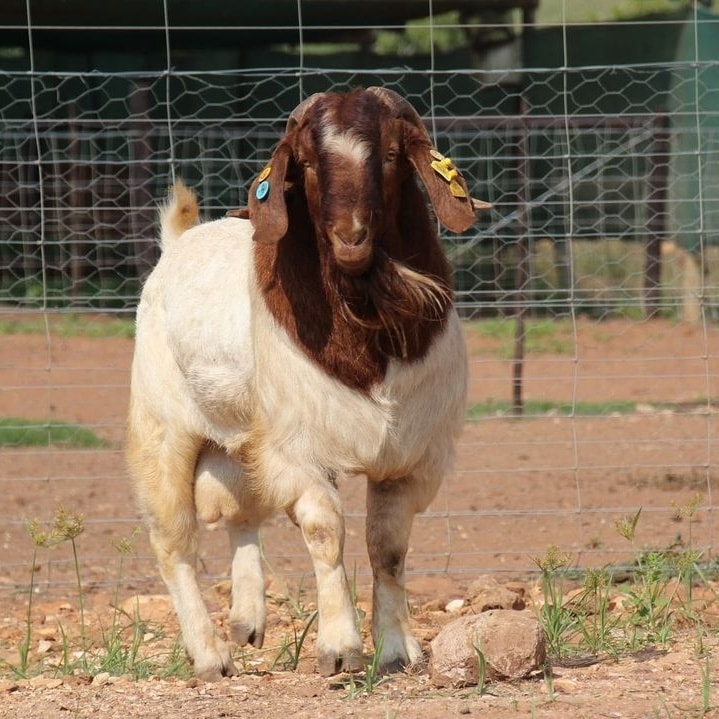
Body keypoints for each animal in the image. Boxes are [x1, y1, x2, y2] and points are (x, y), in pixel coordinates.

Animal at [127, 87, 485, 680]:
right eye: (309, 163)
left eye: (391, 154)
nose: (351, 238)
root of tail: (178, 241)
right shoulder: (299, 448)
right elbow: (325, 532)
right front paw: (339, 649)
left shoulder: (411, 457)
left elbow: (387, 546)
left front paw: (396, 648)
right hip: (162, 430)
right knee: (172, 541)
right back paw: (210, 654)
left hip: (241, 438)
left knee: (241, 512)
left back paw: (247, 618)